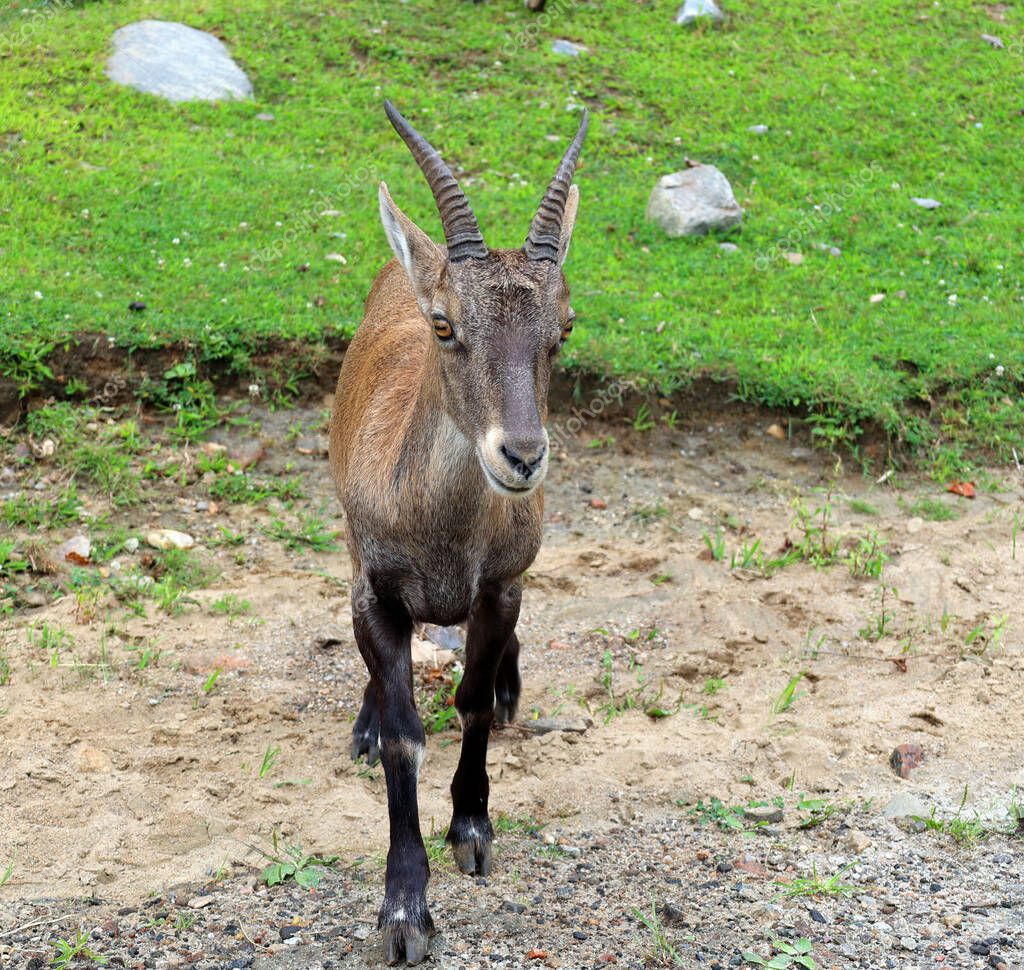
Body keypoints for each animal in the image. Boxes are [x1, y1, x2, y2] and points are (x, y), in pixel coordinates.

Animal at [328, 101, 587, 965]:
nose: (523, 454)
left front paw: (472, 824)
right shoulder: (375, 590)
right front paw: (405, 909)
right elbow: (407, 735)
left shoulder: (501, 586)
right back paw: (367, 715)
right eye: (444, 326)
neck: (441, 534)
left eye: (562, 330)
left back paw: (511, 685)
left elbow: (470, 703)